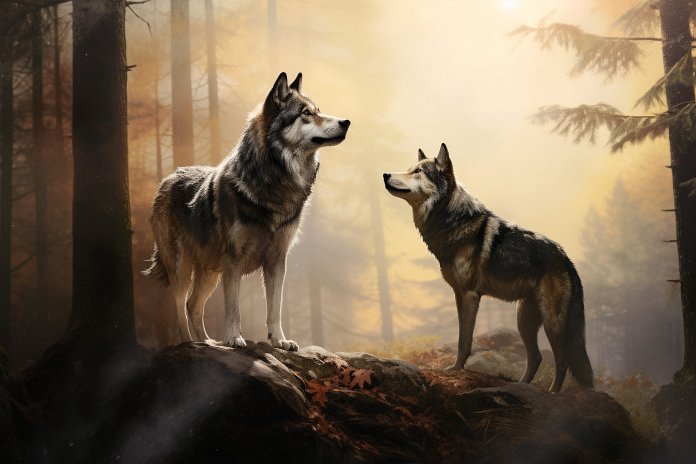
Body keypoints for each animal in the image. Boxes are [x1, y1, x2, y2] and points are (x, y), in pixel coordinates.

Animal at [144, 72, 350, 350]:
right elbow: (234, 307)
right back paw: (190, 343)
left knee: (192, 305)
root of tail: (168, 178)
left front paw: (280, 340)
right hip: (183, 267)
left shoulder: (277, 259)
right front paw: (234, 338)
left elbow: (275, 307)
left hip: (210, 273)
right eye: (306, 113)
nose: (346, 122)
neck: (275, 184)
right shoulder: (233, 259)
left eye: (318, 110)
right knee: (178, 304)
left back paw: (207, 342)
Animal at [383, 144, 593, 392]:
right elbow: (462, 336)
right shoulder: (458, 295)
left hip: (552, 322)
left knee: (561, 362)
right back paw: (520, 386)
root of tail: (566, 259)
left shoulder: (470, 295)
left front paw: (455, 369)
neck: (453, 222)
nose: (385, 174)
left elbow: (464, 340)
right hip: (524, 320)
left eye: (417, 172)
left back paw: (551, 393)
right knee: (536, 358)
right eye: (409, 169)